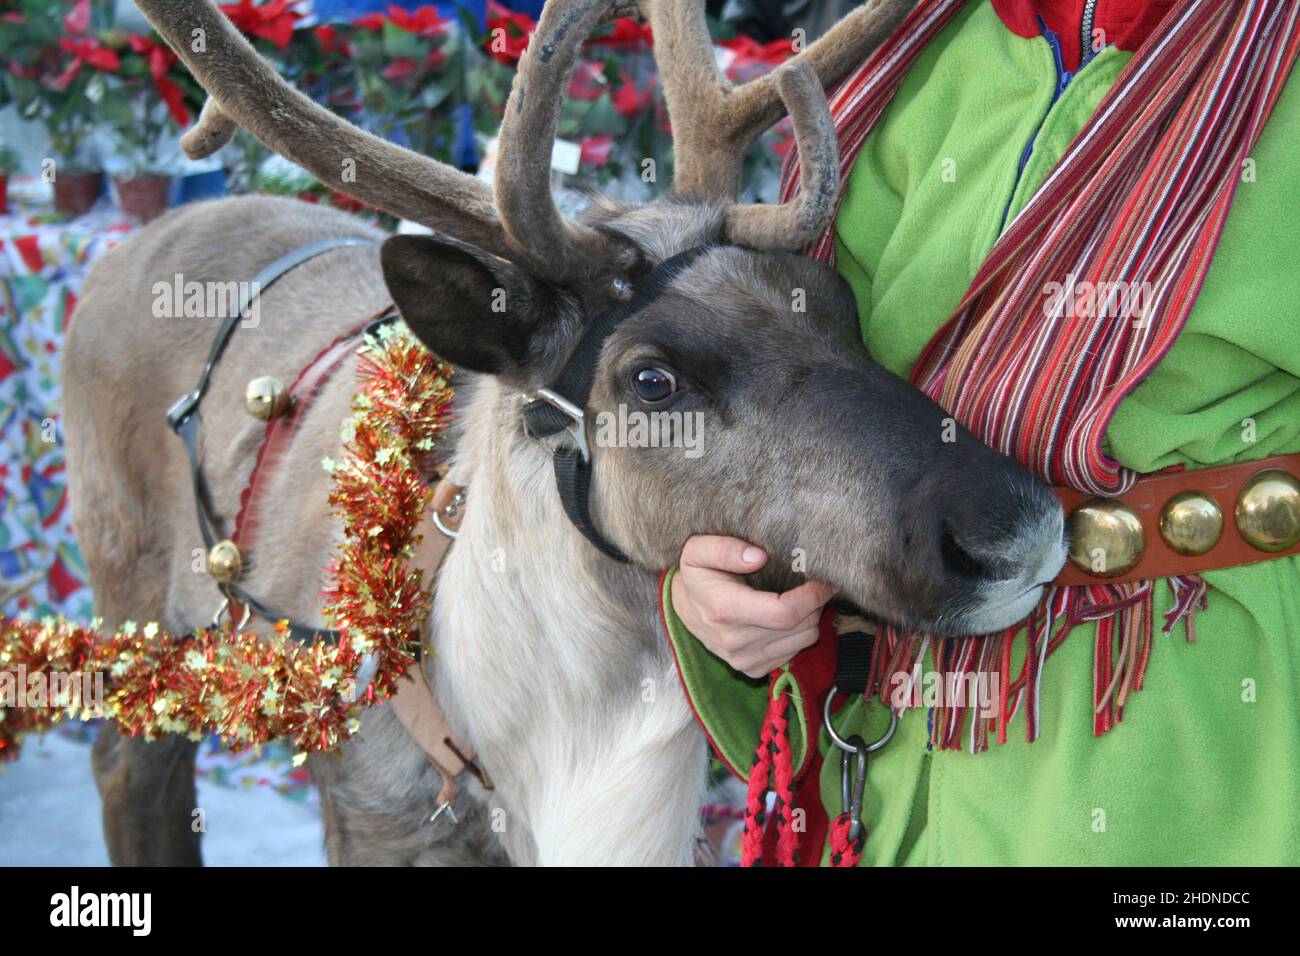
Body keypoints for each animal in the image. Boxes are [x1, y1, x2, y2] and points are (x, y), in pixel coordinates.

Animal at [61, 0, 1066, 866]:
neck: (557, 753)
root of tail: (132, 247)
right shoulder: (377, 816)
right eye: (652, 379)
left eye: (835, 301)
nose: (1013, 528)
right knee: (128, 761)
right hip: (136, 598)